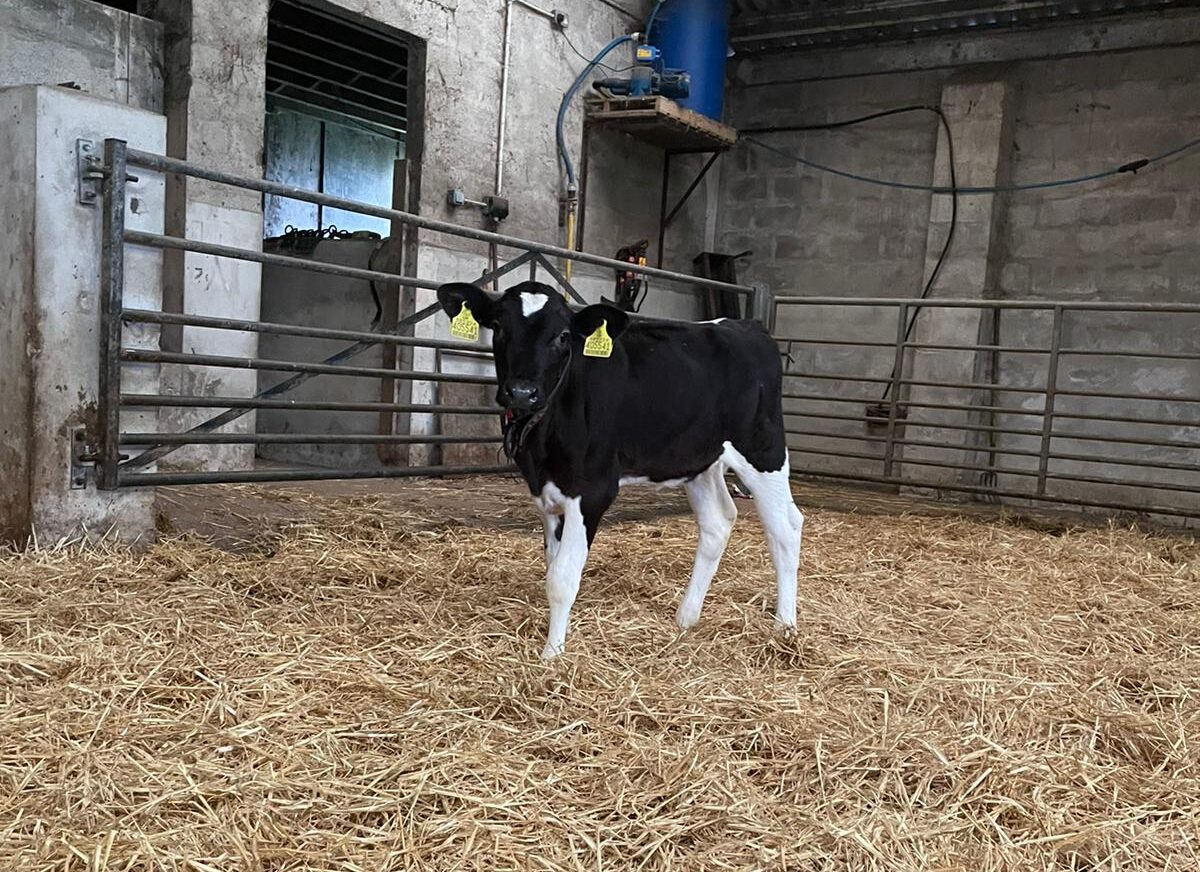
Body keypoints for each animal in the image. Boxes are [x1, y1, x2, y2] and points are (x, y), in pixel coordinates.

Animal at [437, 280, 804, 659]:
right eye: (498, 327)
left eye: (563, 336)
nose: (522, 392)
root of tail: (746, 325)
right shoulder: (547, 494)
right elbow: (552, 567)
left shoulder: (591, 491)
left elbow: (562, 578)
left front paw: (552, 654)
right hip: (701, 461)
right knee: (718, 523)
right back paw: (686, 618)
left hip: (763, 450)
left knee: (786, 528)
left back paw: (785, 627)